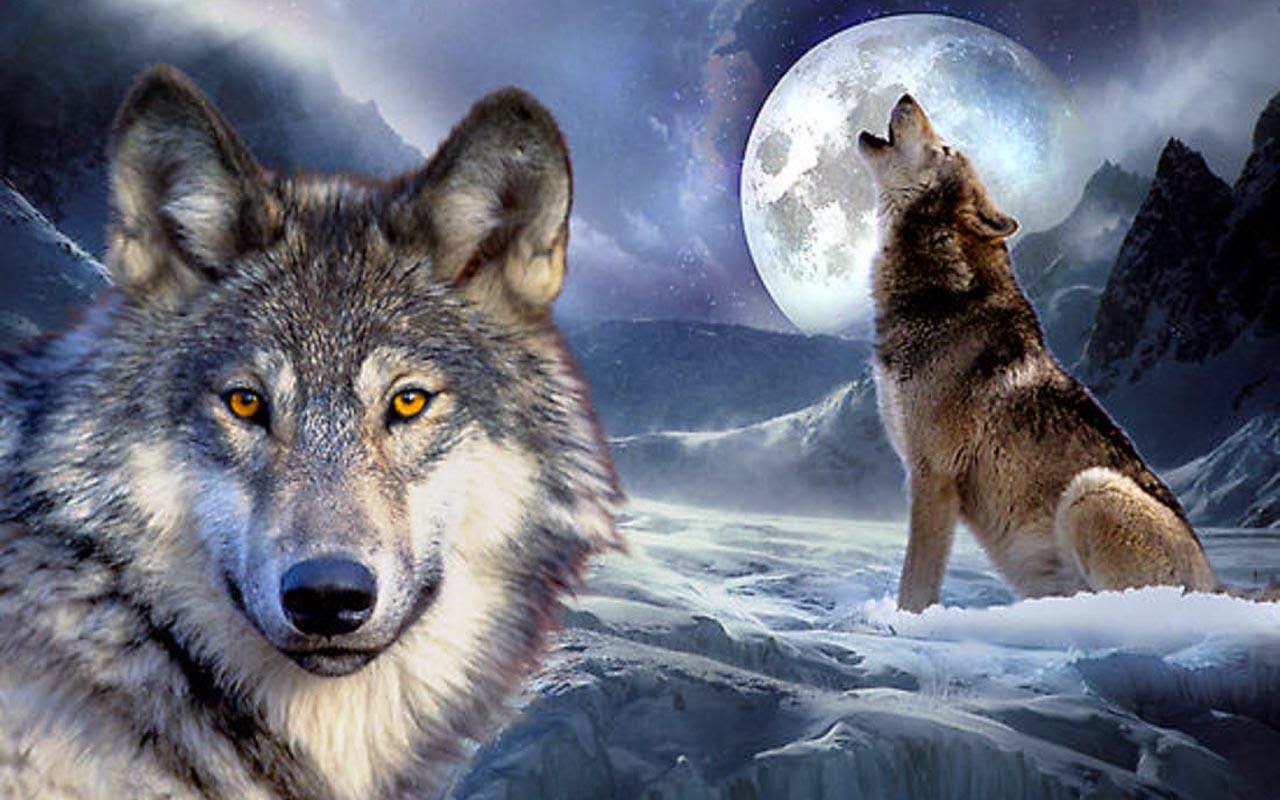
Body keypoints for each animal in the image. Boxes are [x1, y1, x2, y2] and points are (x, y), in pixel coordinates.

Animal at [858, 95, 1221, 613]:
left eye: (945, 148)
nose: (907, 96)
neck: (940, 296)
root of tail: (1218, 585)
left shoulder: (933, 477)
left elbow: (916, 585)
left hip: (1091, 490)